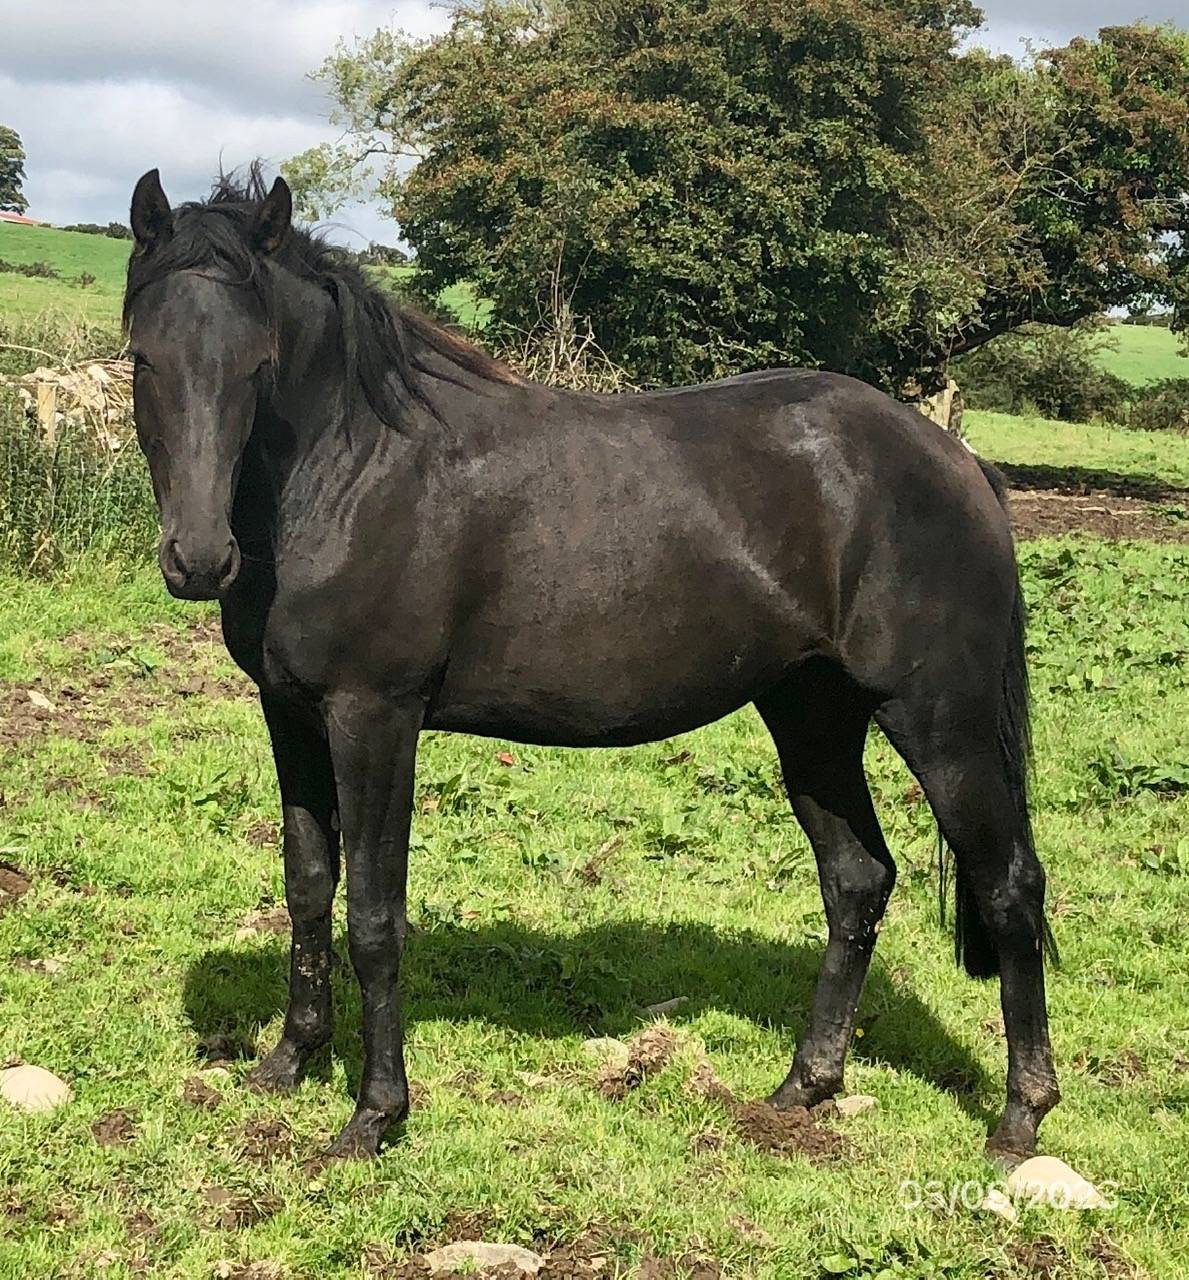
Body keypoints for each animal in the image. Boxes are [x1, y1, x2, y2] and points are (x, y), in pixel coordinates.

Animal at [123, 166, 1058, 1161]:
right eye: (144, 359)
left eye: (258, 365)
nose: (198, 559)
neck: (351, 473)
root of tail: (954, 459)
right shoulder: (290, 713)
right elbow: (307, 889)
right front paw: (288, 1063)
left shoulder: (374, 717)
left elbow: (373, 915)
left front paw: (374, 1115)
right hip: (812, 715)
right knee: (857, 881)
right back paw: (805, 1084)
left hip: (939, 718)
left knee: (1008, 885)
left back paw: (1019, 1116)